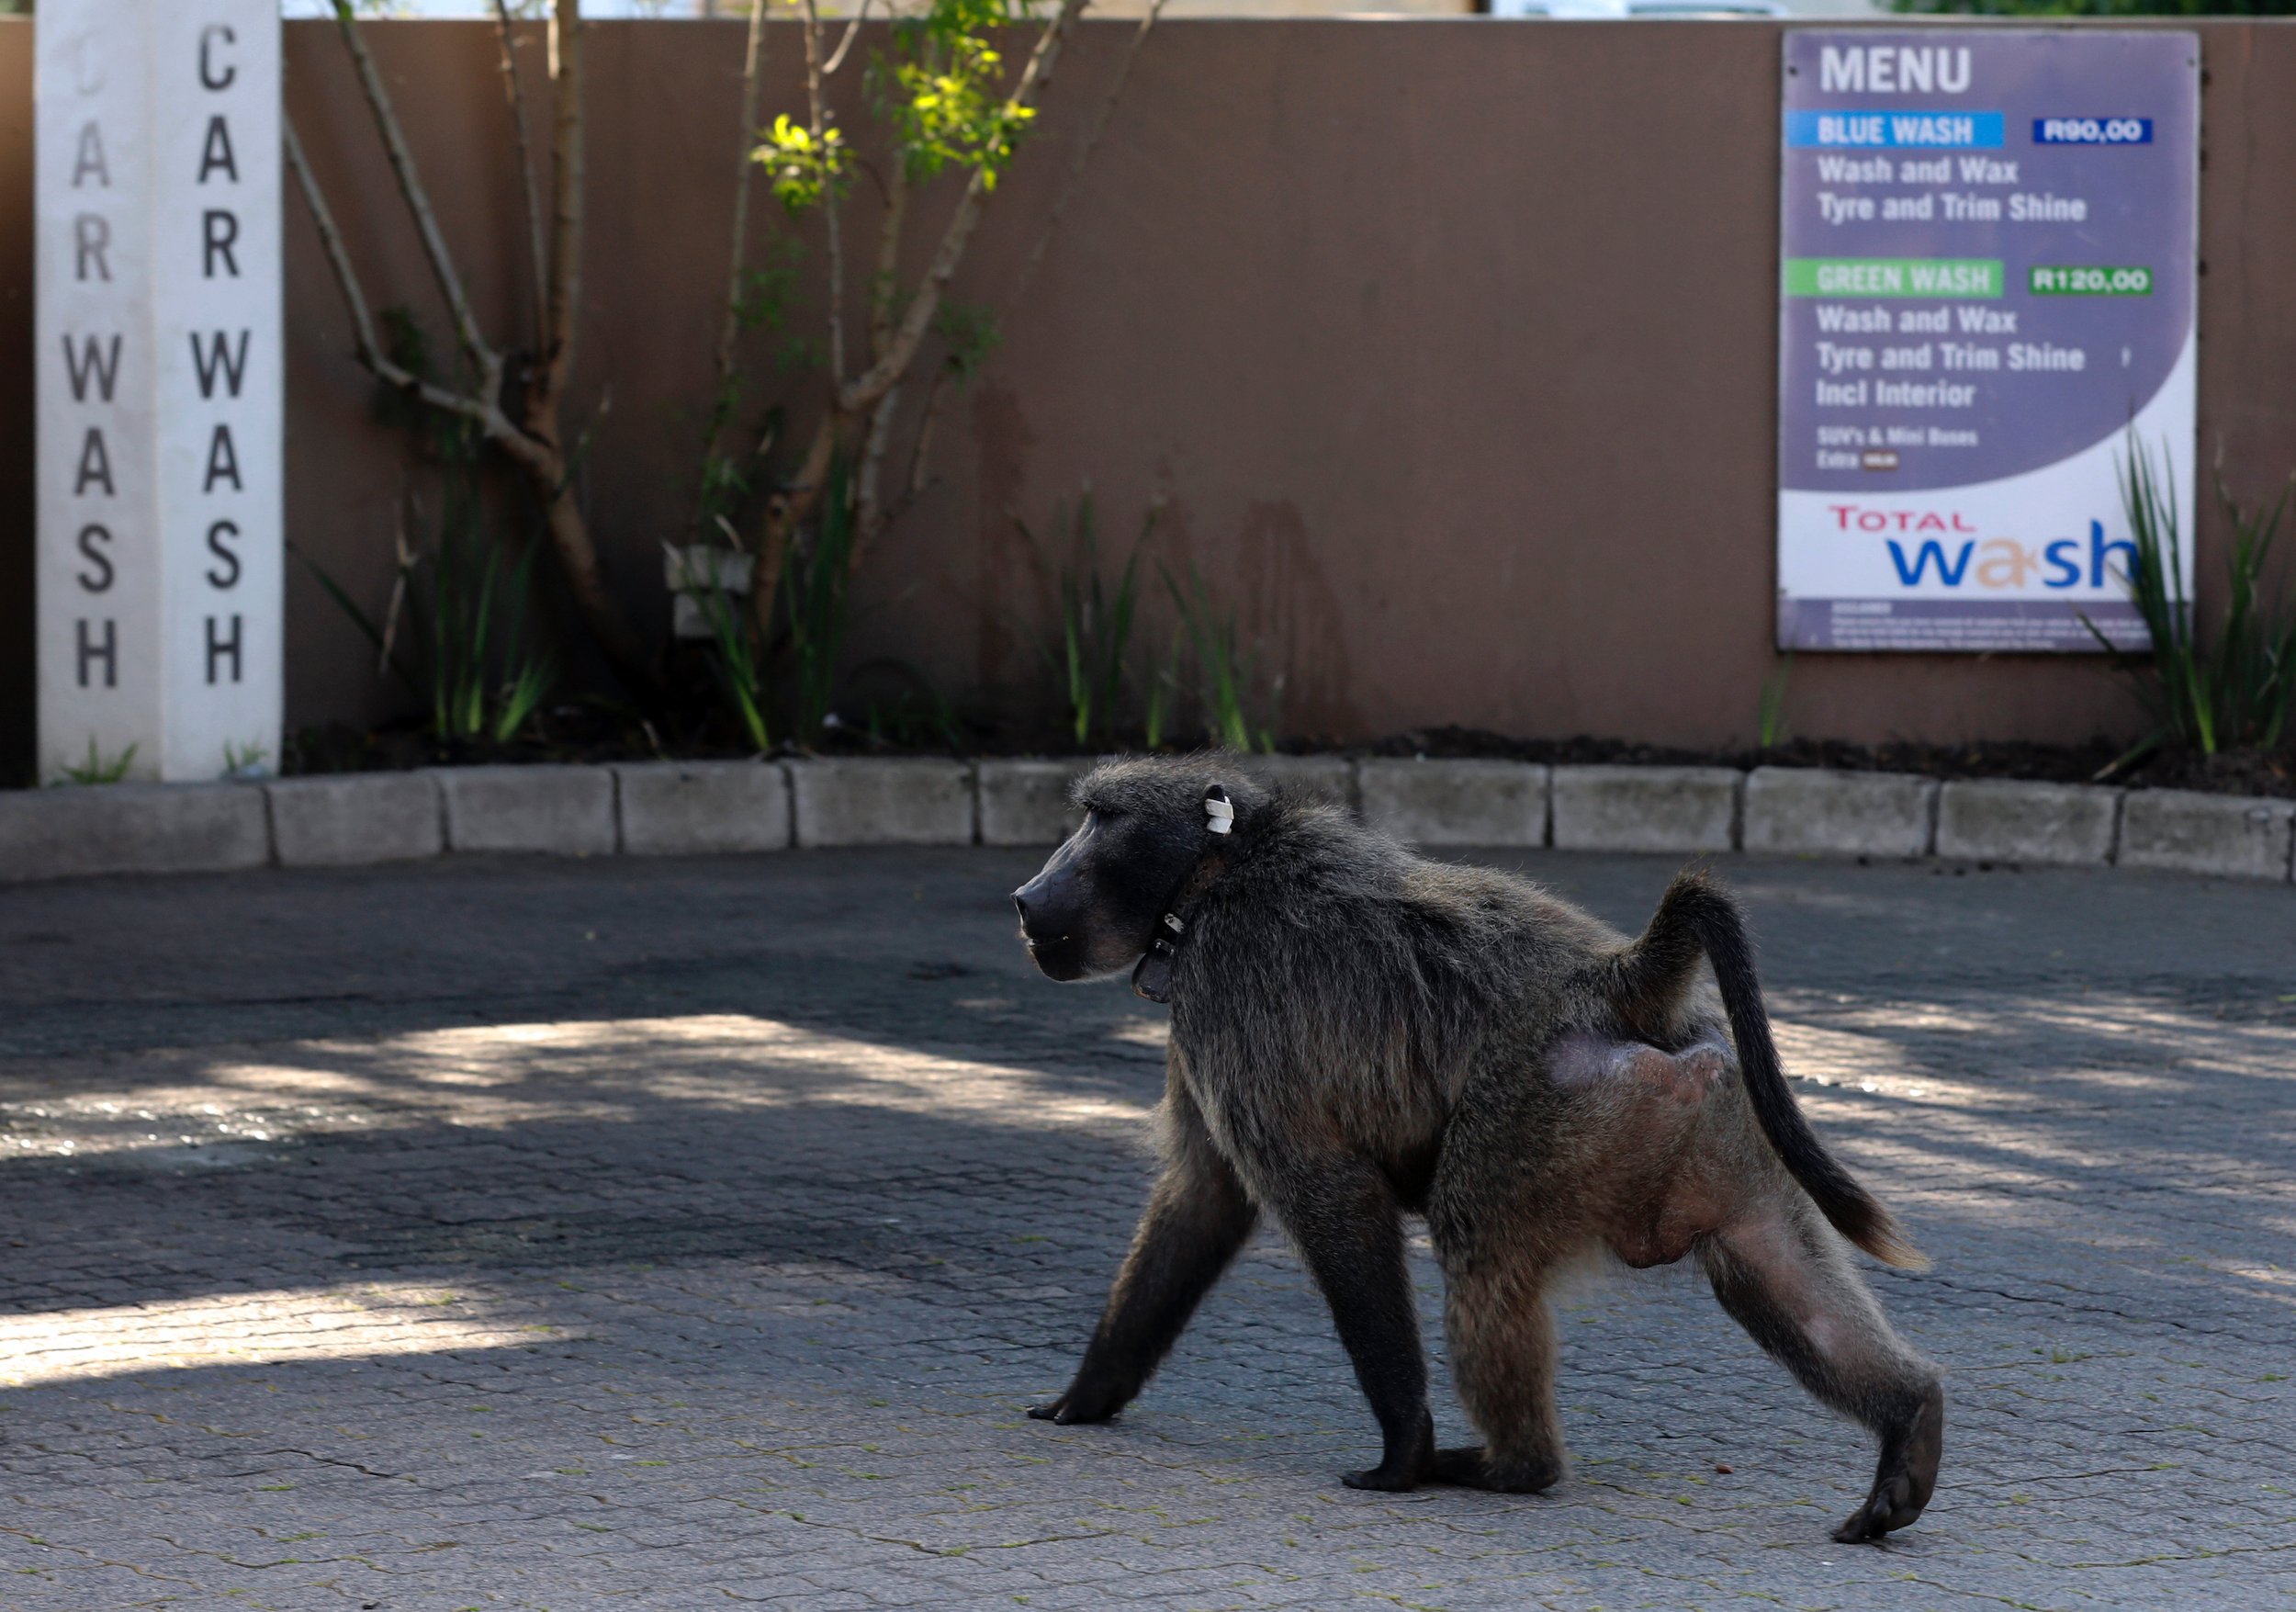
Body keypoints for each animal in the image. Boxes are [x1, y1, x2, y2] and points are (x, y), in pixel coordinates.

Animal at [1009, 754, 1943, 1544]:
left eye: (1098, 818)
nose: (1025, 895)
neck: (1217, 875)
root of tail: (1613, 980)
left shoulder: (1225, 989)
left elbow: (1327, 1192)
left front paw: (1401, 1452)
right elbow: (1200, 1196)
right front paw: (1085, 1398)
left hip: (1535, 1115)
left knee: (1478, 1250)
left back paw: (1505, 1466)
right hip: (1719, 1107)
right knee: (1765, 1261)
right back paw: (1911, 1424)